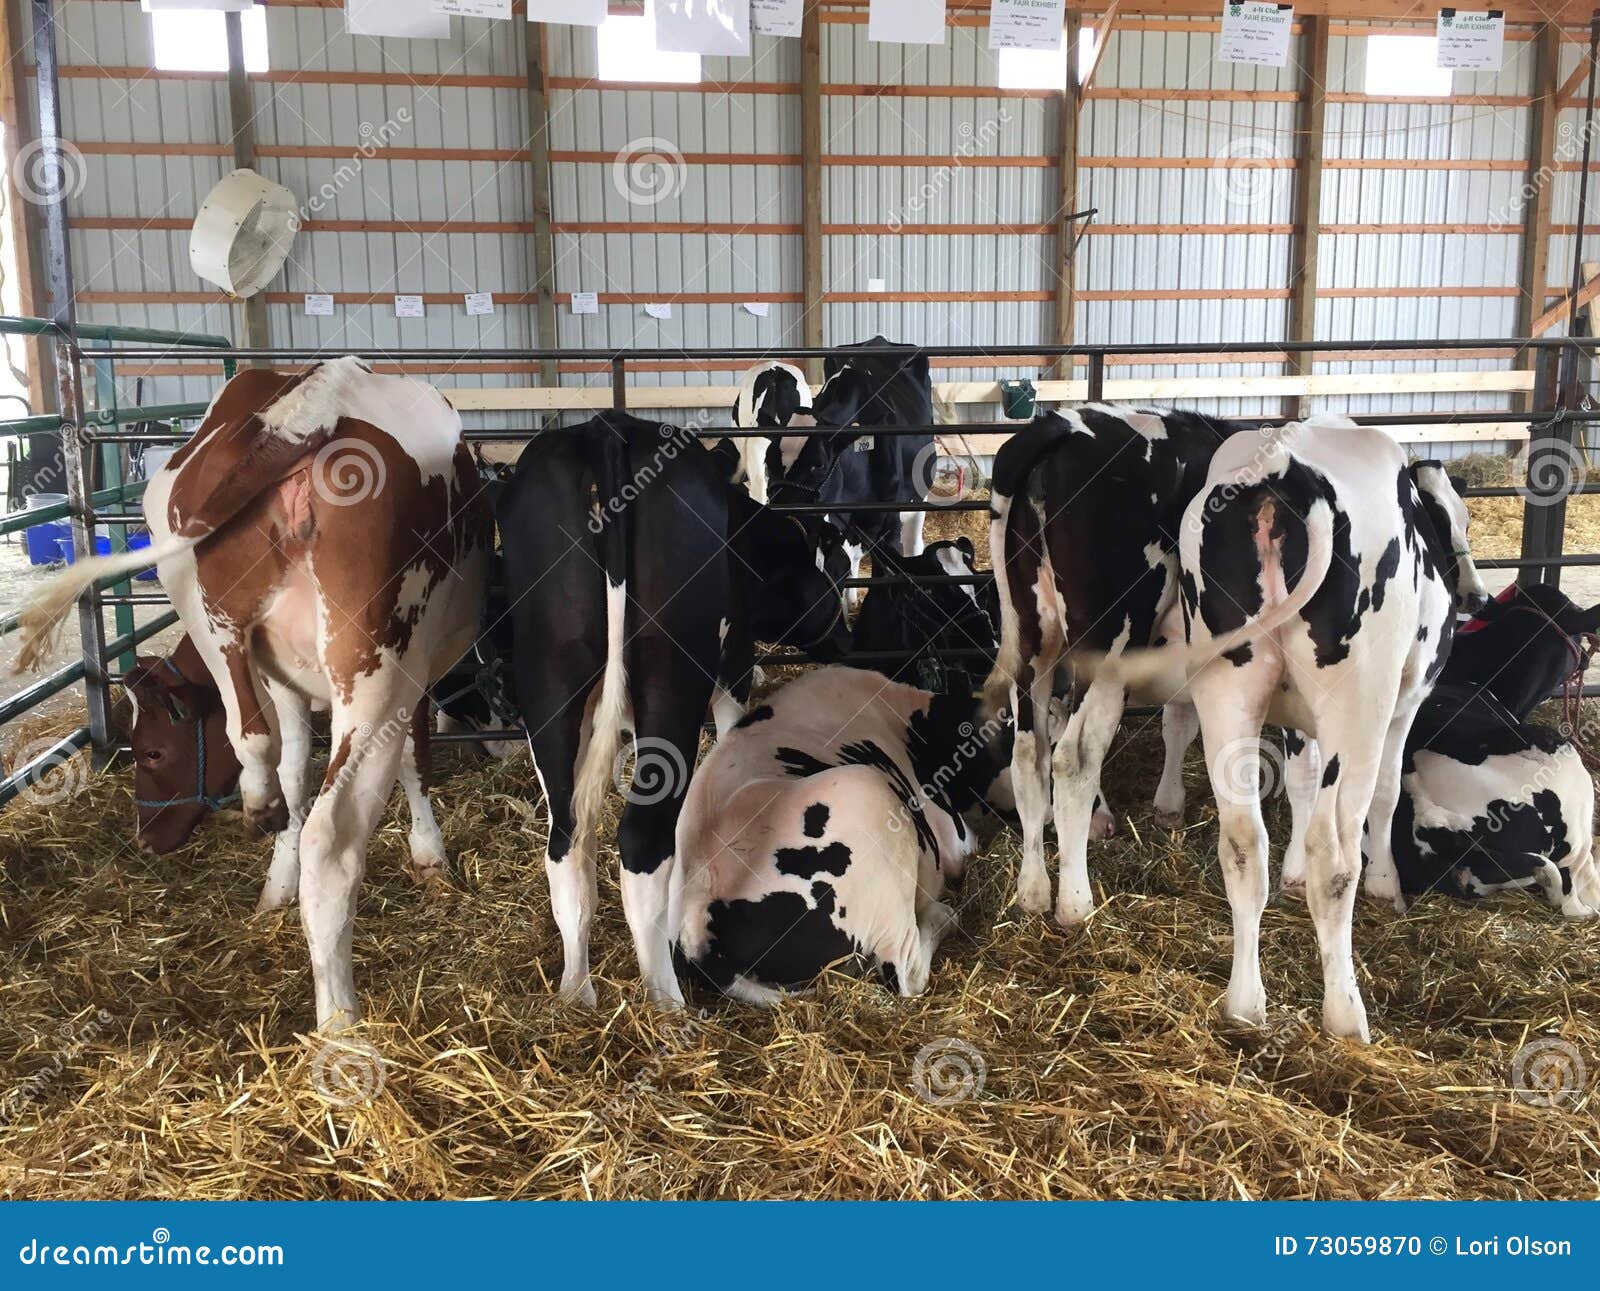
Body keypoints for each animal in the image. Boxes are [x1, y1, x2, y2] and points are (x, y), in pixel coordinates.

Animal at [17, 357, 492, 1030]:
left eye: (152, 751)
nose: (144, 841)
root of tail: (304, 408)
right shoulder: (404, 679)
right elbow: (404, 760)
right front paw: (430, 859)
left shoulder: (287, 680)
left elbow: (297, 768)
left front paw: (276, 880)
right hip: (371, 666)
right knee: (331, 836)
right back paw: (340, 1023)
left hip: (214, 621)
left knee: (257, 749)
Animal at [495, 411, 850, 1008]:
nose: (845, 637)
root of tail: (606, 428)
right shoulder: (732, 671)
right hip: (672, 679)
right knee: (642, 837)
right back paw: (666, 1000)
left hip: (549, 681)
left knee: (566, 834)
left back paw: (576, 991)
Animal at [980, 405, 1249, 930]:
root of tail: (1061, 425)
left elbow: (1180, 719)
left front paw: (1169, 806)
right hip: (1109, 644)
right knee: (1073, 757)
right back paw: (1074, 902)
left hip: (1034, 636)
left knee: (1028, 751)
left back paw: (1033, 891)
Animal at [1093, 420, 1488, 1040]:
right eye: (1456, 520)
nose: (1477, 596)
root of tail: (1281, 465)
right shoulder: (1406, 702)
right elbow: (1387, 795)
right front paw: (1387, 887)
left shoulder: (1298, 721)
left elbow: (1301, 783)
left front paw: (1292, 876)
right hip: (1358, 703)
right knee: (1336, 856)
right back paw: (1345, 1015)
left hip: (1228, 688)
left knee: (1241, 842)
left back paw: (1245, 1004)